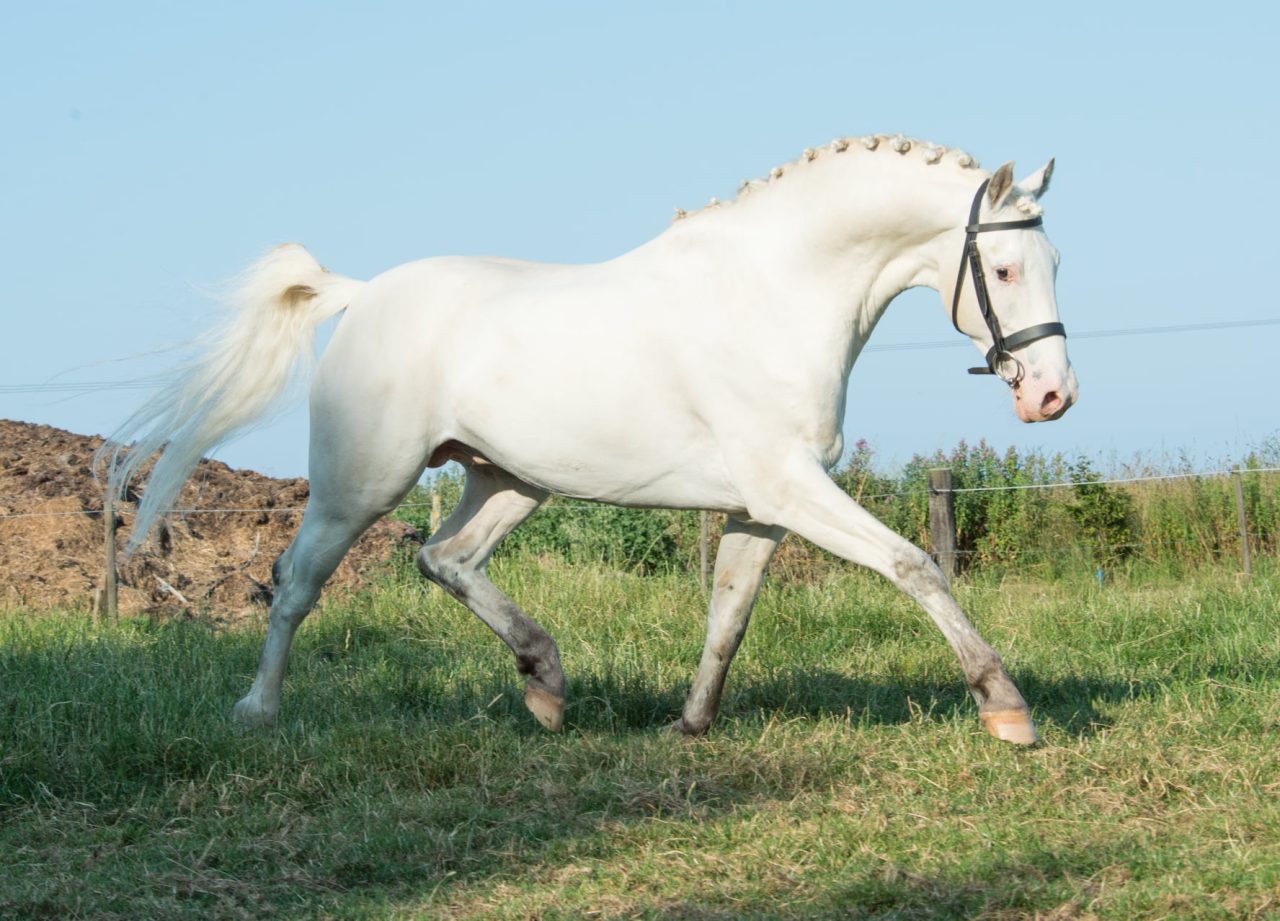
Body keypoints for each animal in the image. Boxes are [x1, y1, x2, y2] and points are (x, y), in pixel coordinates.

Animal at [106, 133, 1076, 745]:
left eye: (1054, 263)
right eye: (1001, 269)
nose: (1052, 394)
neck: (775, 292)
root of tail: (364, 291)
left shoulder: (761, 506)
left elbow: (728, 616)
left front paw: (689, 724)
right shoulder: (790, 487)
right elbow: (916, 565)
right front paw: (1007, 710)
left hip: (507, 479)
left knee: (444, 557)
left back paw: (545, 682)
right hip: (361, 484)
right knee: (297, 581)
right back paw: (259, 711)